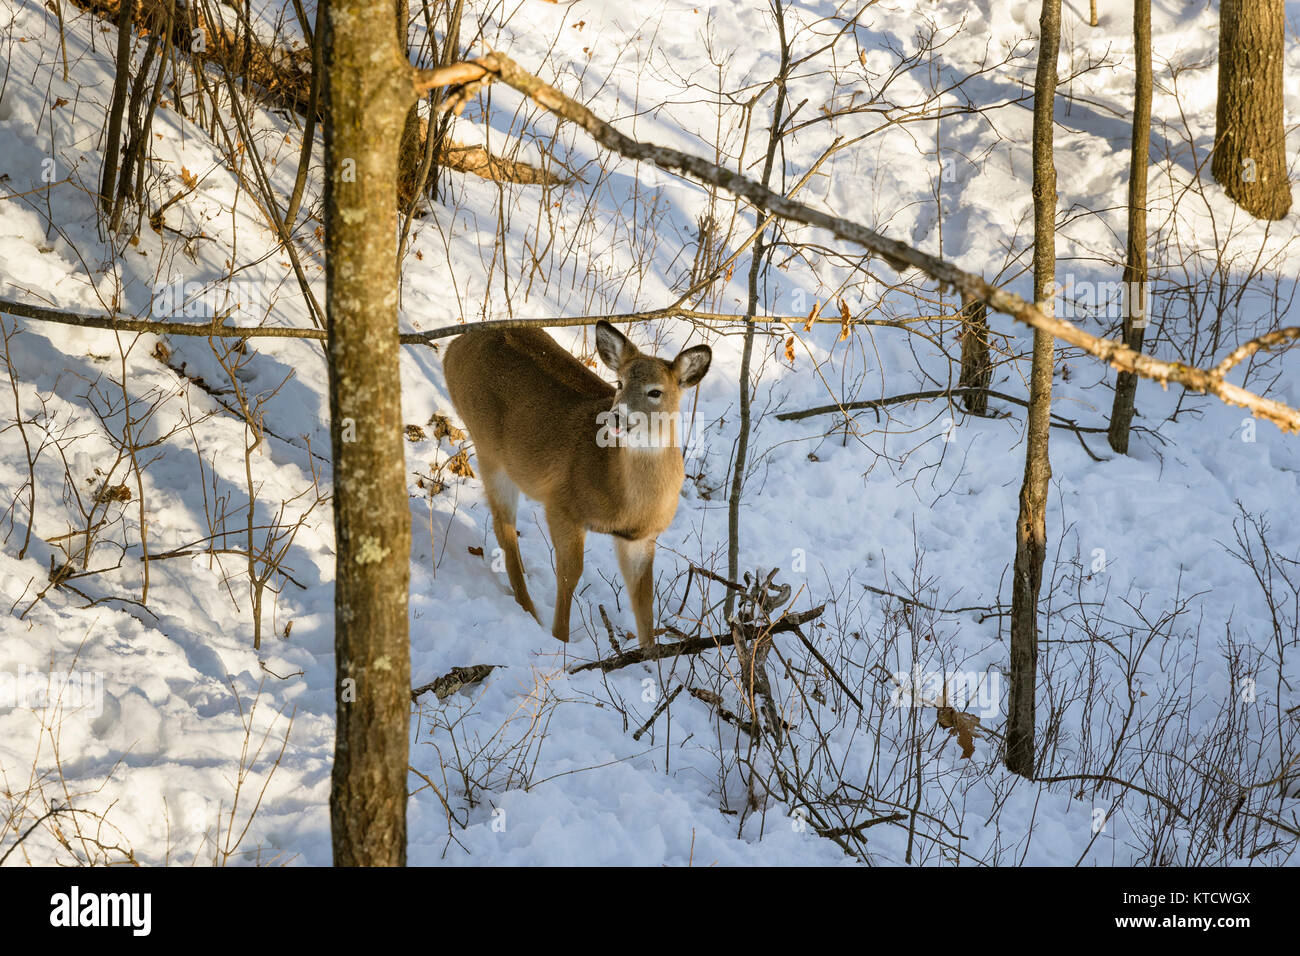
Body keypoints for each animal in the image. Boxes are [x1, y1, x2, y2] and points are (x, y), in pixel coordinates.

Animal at [443, 321, 712, 650]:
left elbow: (644, 598)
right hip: (489, 450)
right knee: (503, 528)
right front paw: (560, 639)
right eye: (619, 383)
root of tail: (454, 346)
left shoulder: (641, 537)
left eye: (655, 391)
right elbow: (570, 574)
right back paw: (529, 610)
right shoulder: (562, 505)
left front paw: (650, 658)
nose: (616, 416)